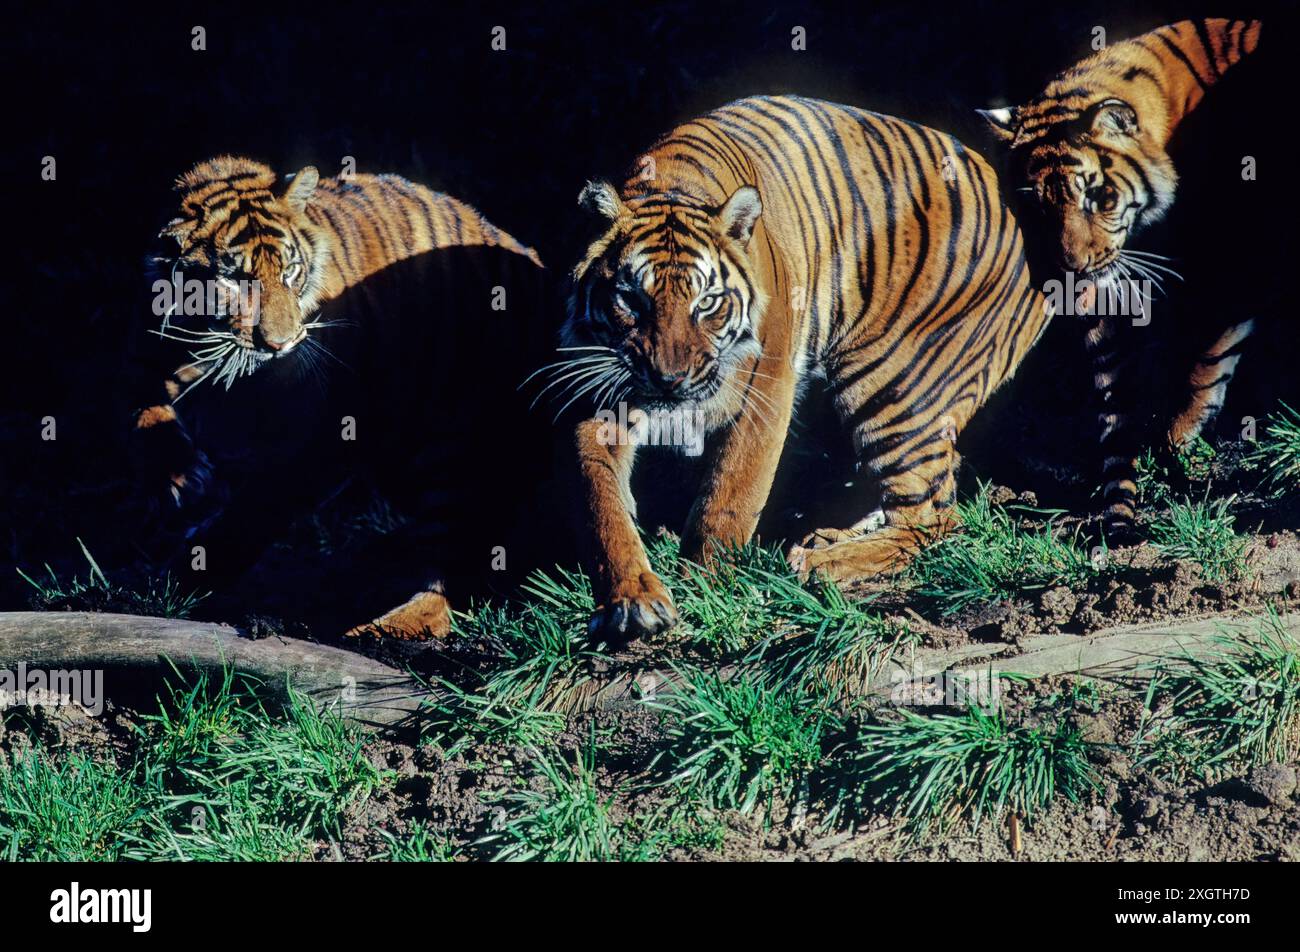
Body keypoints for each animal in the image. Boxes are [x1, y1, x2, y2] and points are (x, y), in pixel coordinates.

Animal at [133, 156, 551, 638]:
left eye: (289, 272)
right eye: (235, 281)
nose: (281, 343)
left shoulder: (329, 434)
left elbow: (260, 506)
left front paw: (187, 574)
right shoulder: (154, 348)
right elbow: (142, 401)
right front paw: (177, 476)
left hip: (457, 446)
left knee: (456, 566)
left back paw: (376, 627)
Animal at [556, 95, 1053, 641]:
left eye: (707, 303)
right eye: (631, 299)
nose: (670, 380)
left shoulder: (764, 388)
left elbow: (728, 494)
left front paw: (707, 584)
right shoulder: (595, 391)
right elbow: (601, 502)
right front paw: (631, 601)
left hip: (889, 385)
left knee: (935, 519)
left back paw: (821, 563)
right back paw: (827, 539)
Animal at [978, 18, 1265, 538]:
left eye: (1100, 197)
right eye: (1035, 205)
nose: (1071, 268)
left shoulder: (1230, 254)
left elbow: (1213, 348)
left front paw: (1179, 435)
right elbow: (1111, 383)